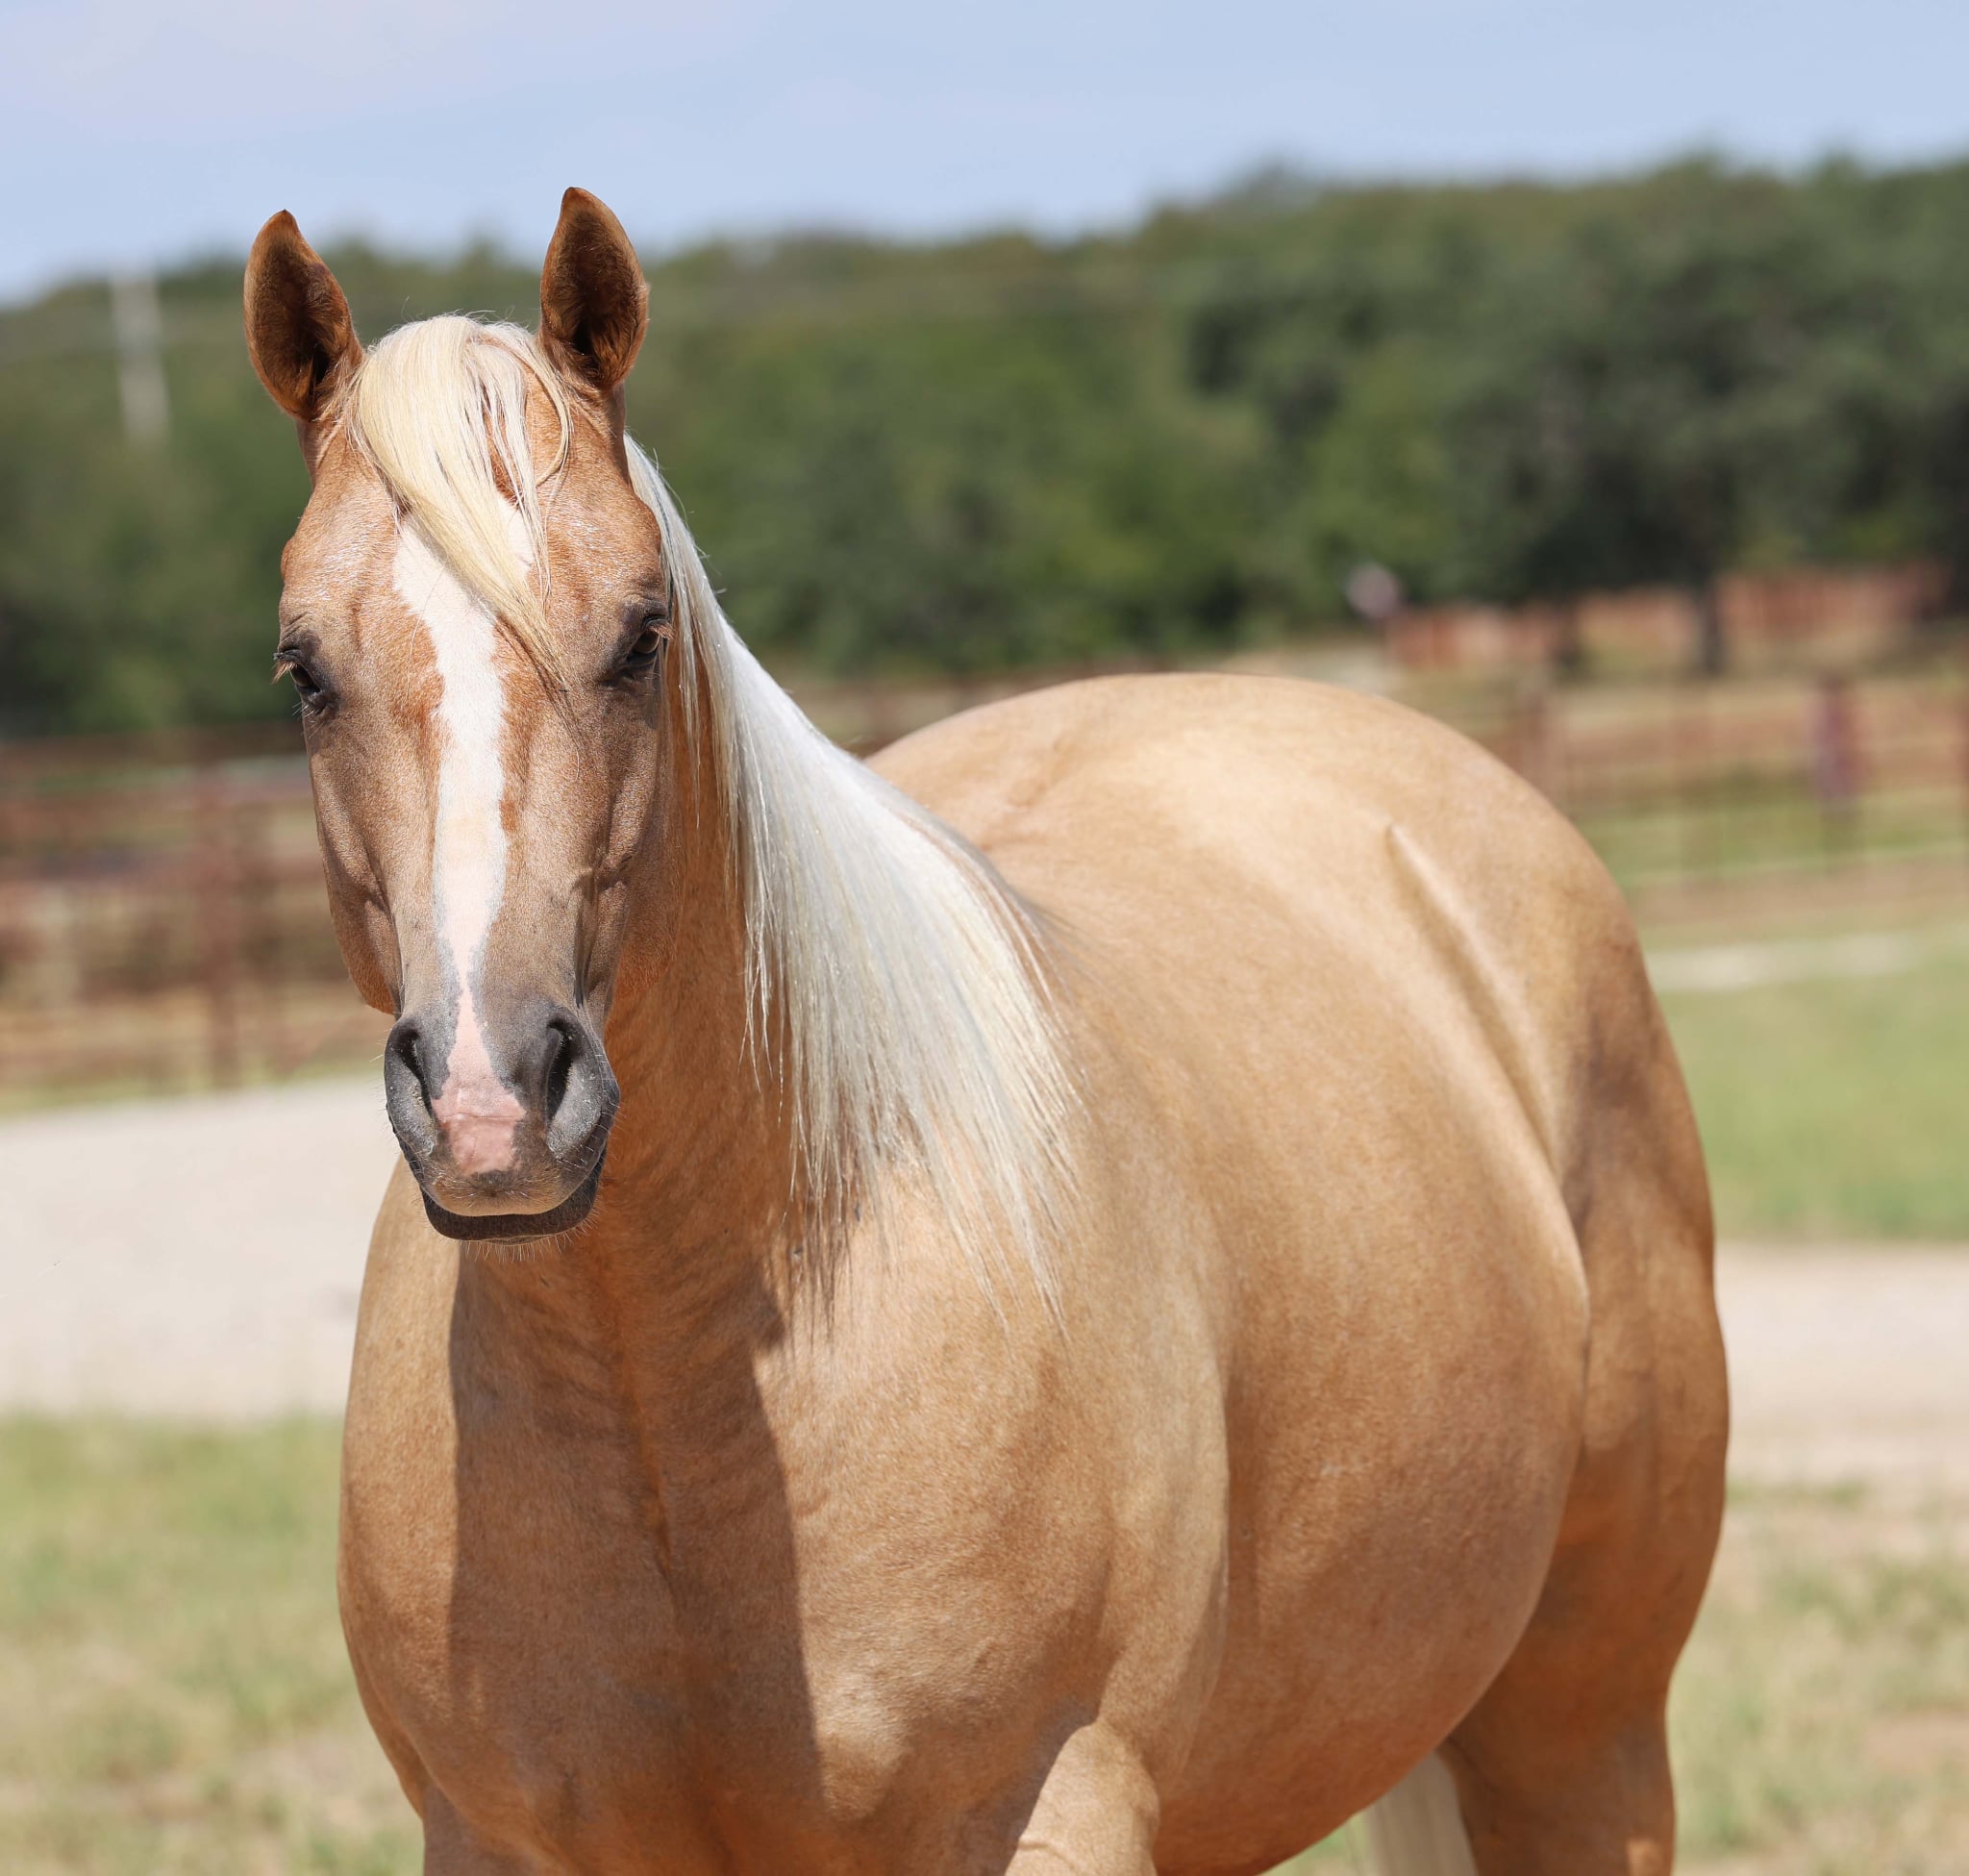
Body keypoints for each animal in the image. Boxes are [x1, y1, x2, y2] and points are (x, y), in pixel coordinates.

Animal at [243, 188, 1727, 1875]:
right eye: (304, 665)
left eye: (639, 633)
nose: (496, 1100)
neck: (677, 1391)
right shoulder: (490, 1832)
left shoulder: (1051, 1806)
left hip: (1581, 1730)